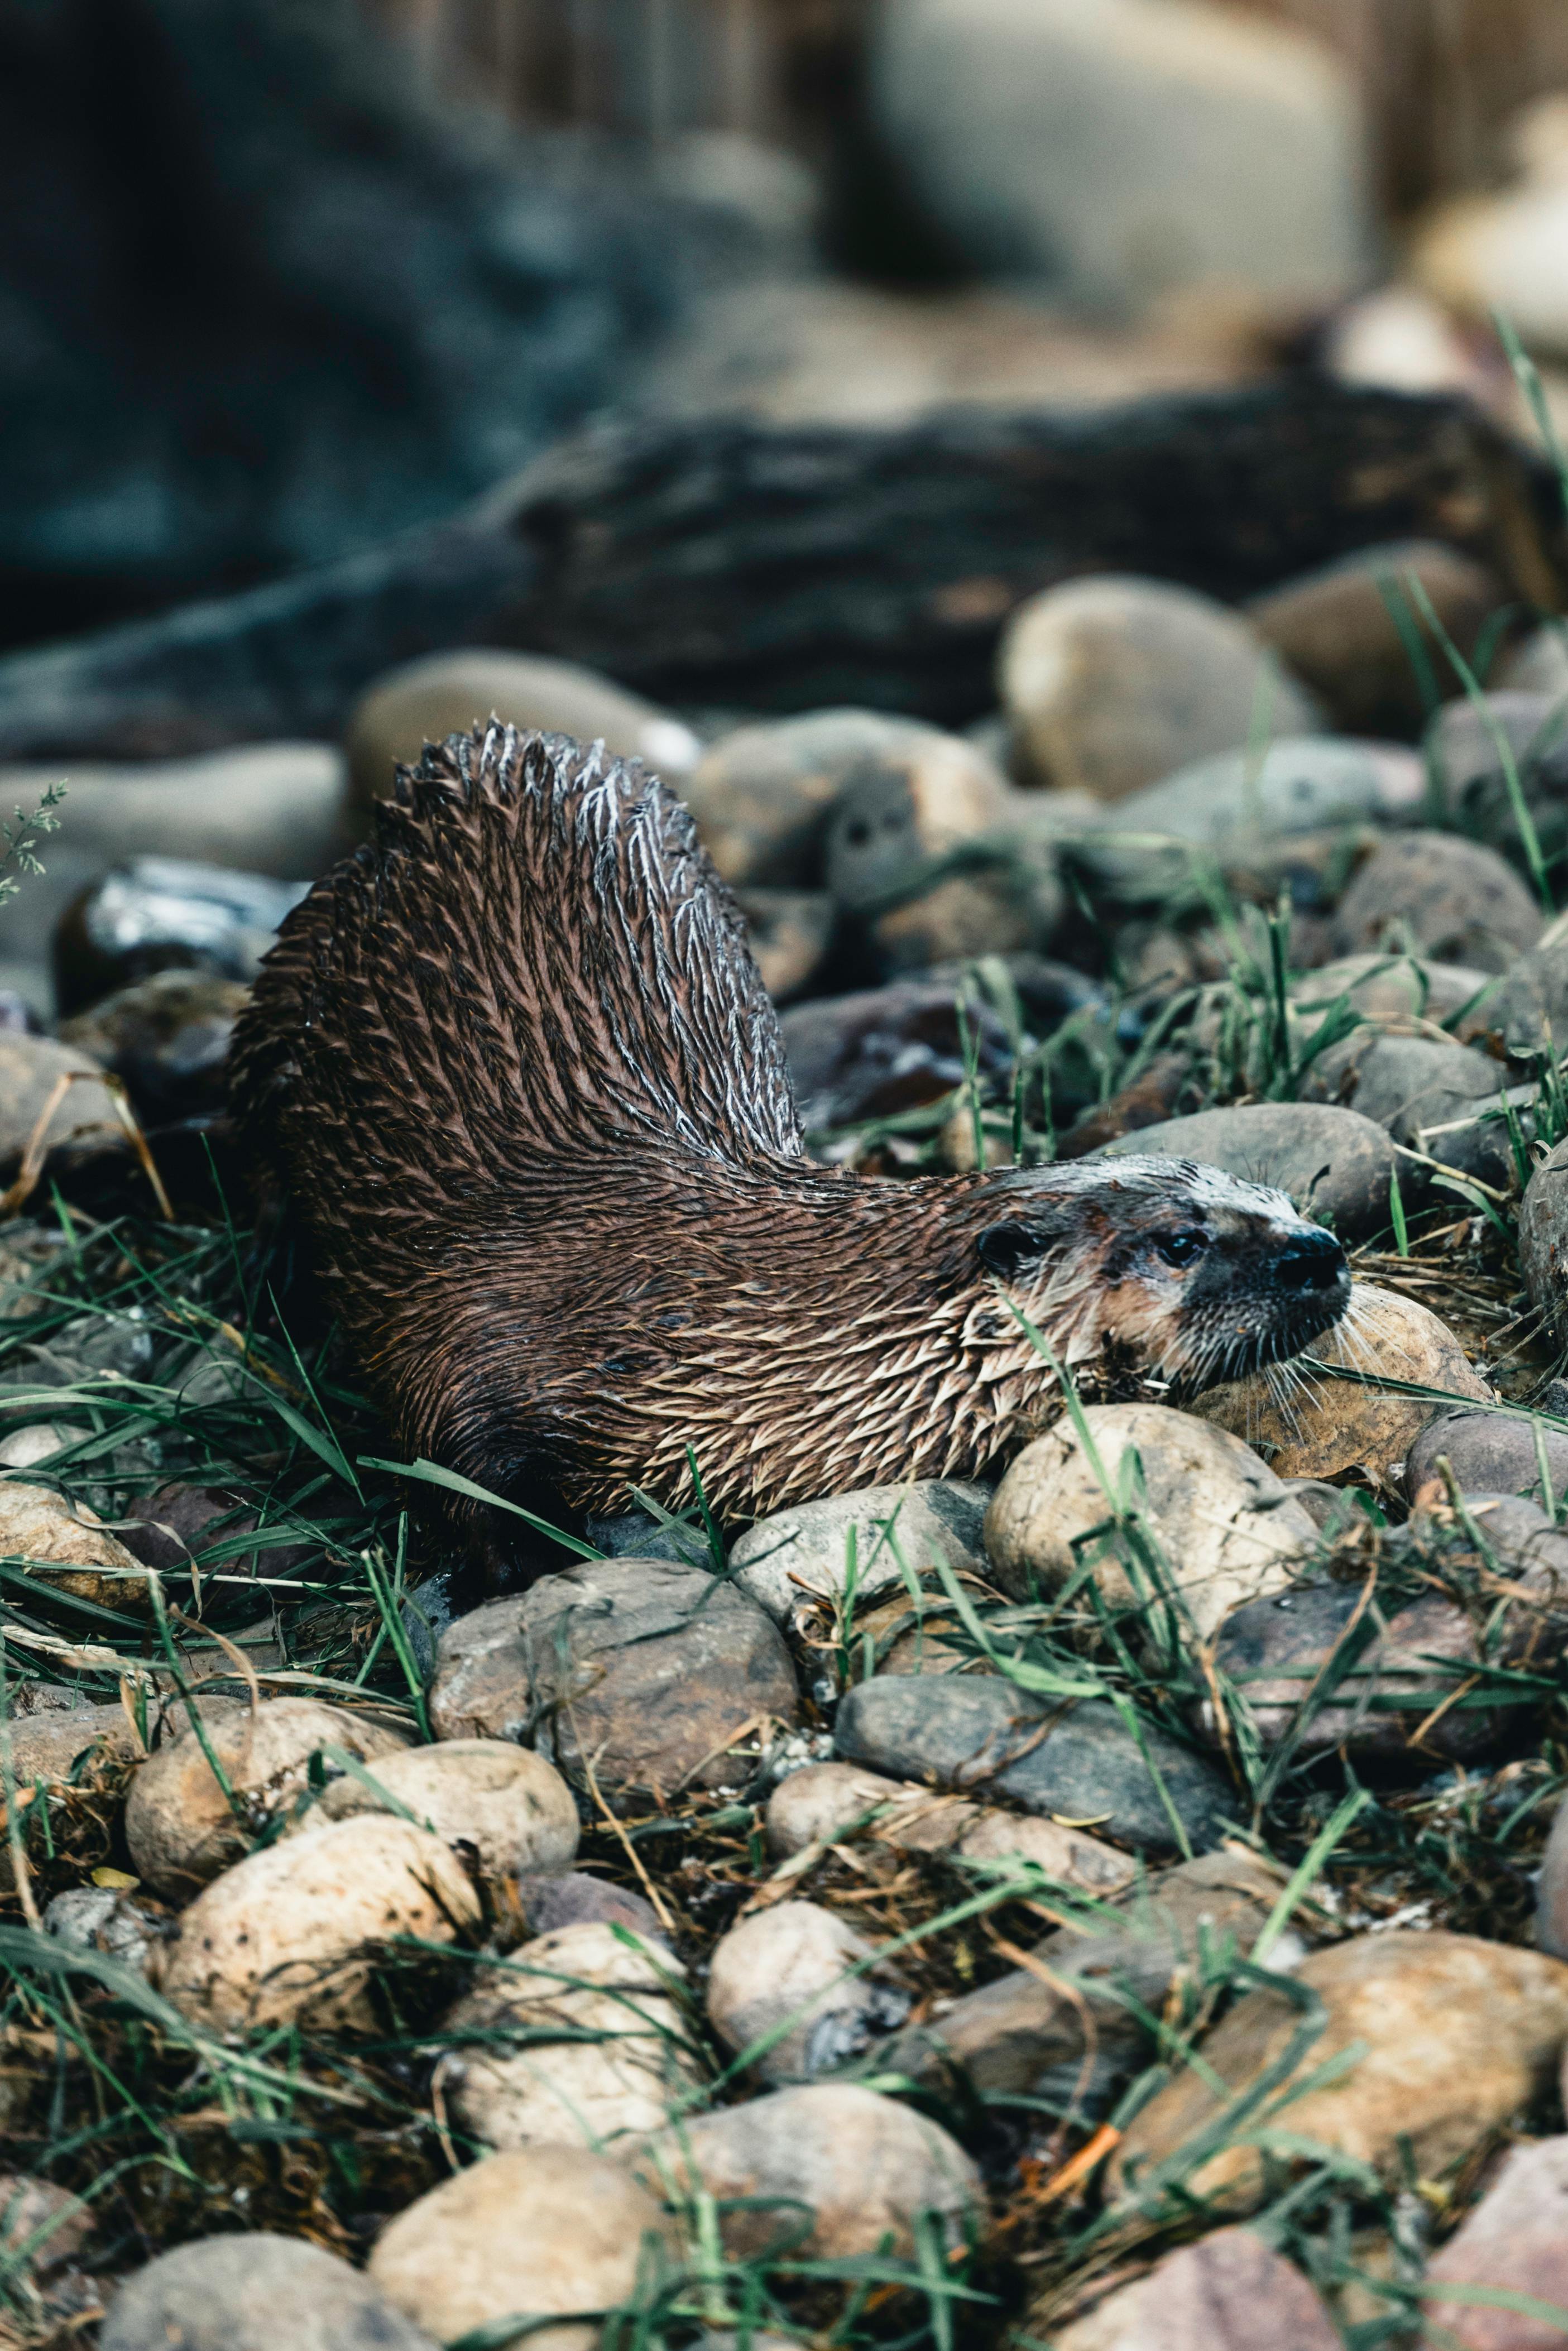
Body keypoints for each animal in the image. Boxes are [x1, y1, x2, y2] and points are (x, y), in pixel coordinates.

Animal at [230, 724, 1350, 1574]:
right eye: (1180, 1242)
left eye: (1275, 1197)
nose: (1321, 1255)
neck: (675, 1317)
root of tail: (481, 744)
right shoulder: (468, 1353)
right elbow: (459, 1487)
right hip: (284, 992)